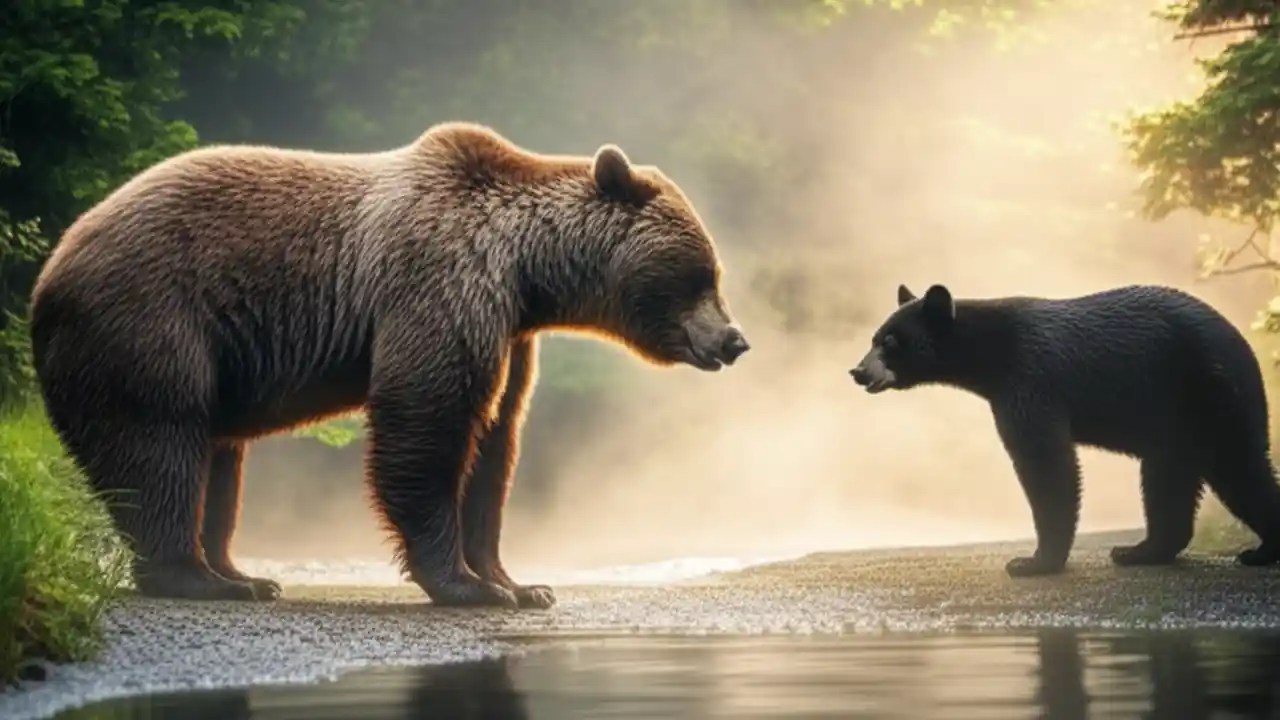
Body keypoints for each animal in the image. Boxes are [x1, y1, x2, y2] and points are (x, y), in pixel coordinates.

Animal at [29, 121, 750, 608]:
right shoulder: (443, 279)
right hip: (152, 319)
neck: (528, 271)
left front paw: (520, 583)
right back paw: (197, 577)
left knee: (216, 459)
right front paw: (466, 584)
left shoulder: (511, 334)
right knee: (160, 441)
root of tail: (49, 273)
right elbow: (428, 420)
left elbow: (494, 444)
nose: (734, 340)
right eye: (702, 274)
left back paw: (244, 573)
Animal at [850, 283, 1280, 577]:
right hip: (1176, 421)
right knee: (1169, 479)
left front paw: (1034, 561)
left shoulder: (1030, 380)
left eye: (891, 341)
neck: (991, 355)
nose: (858, 371)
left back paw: (1259, 551)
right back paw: (1139, 551)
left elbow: (1045, 462)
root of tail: (1242, 344)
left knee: (1240, 467)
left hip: (1209, 395)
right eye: (873, 338)